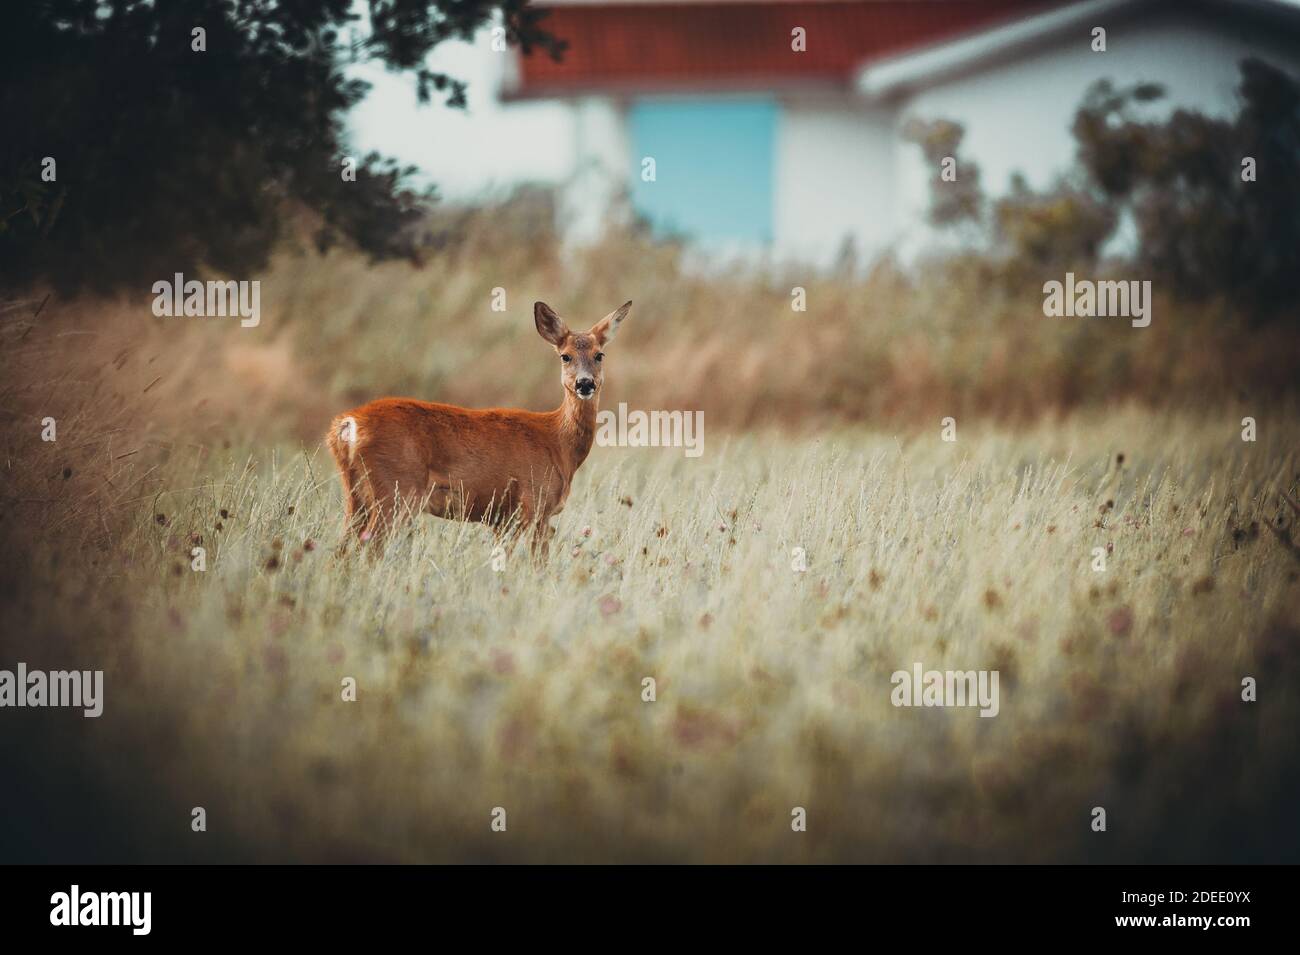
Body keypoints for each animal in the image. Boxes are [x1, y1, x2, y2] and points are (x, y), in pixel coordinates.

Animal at [325, 300, 632, 559]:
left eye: (599, 355)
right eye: (565, 356)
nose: (585, 383)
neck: (559, 444)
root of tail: (348, 424)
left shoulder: (503, 519)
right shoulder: (535, 504)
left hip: (356, 495)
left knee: (341, 550)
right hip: (396, 490)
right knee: (369, 549)